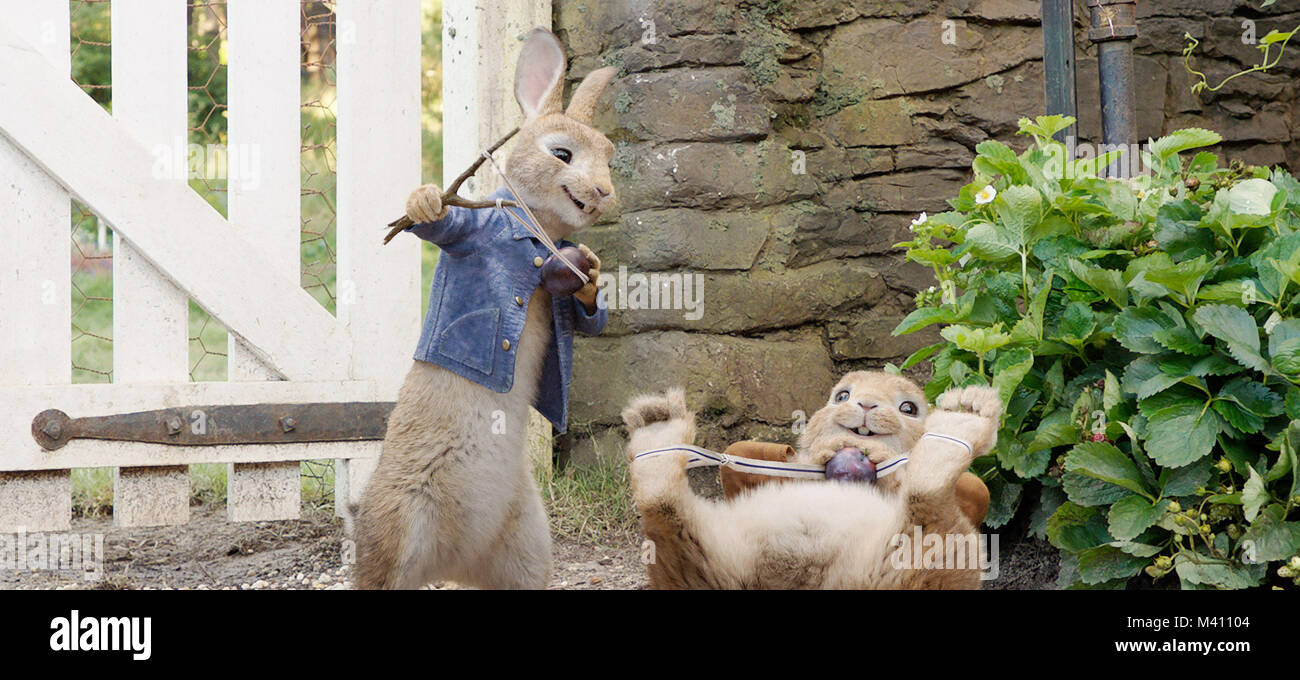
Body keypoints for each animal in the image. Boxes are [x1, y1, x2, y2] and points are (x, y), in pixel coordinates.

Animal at [352, 28, 617, 590]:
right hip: (397, 527)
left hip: (527, 542)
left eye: (609, 155)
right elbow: (449, 226)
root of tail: (452, 562)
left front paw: (588, 279)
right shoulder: (475, 231)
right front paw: (426, 203)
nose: (605, 192)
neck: (535, 231)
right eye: (562, 153)